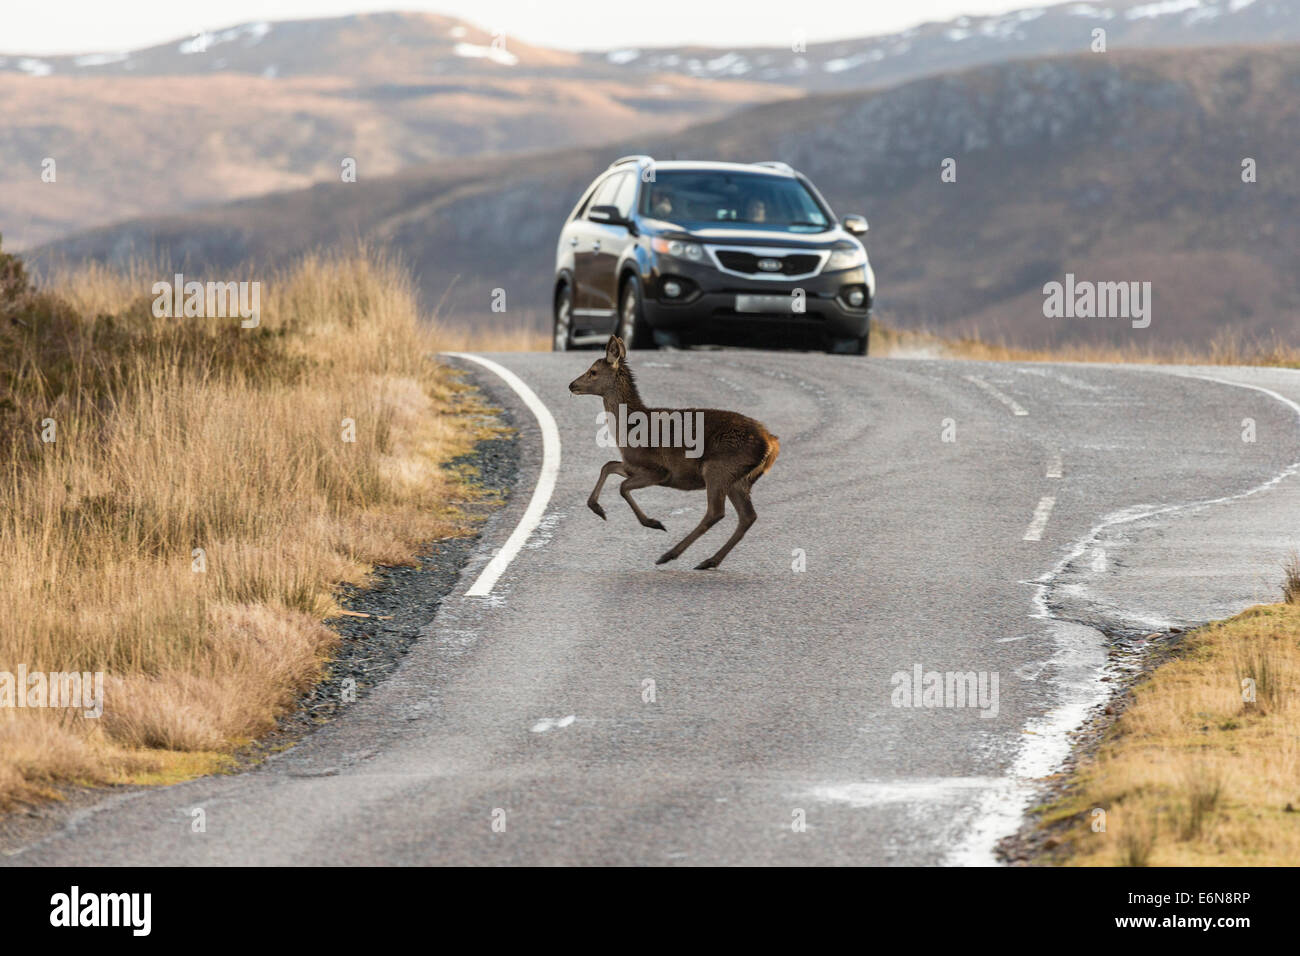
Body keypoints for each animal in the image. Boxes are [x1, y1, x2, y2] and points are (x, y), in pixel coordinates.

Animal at [568, 335, 779, 570]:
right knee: (747, 516)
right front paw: (597, 508)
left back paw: (670, 554)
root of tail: (771, 443)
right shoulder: (632, 465)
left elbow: (622, 487)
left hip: (719, 468)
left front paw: (652, 522)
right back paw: (709, 561)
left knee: (716, 512)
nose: (571, 385)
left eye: (593, 371)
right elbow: (608, 466)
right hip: (740, 479)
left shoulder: (659, 470)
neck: (630, 430)